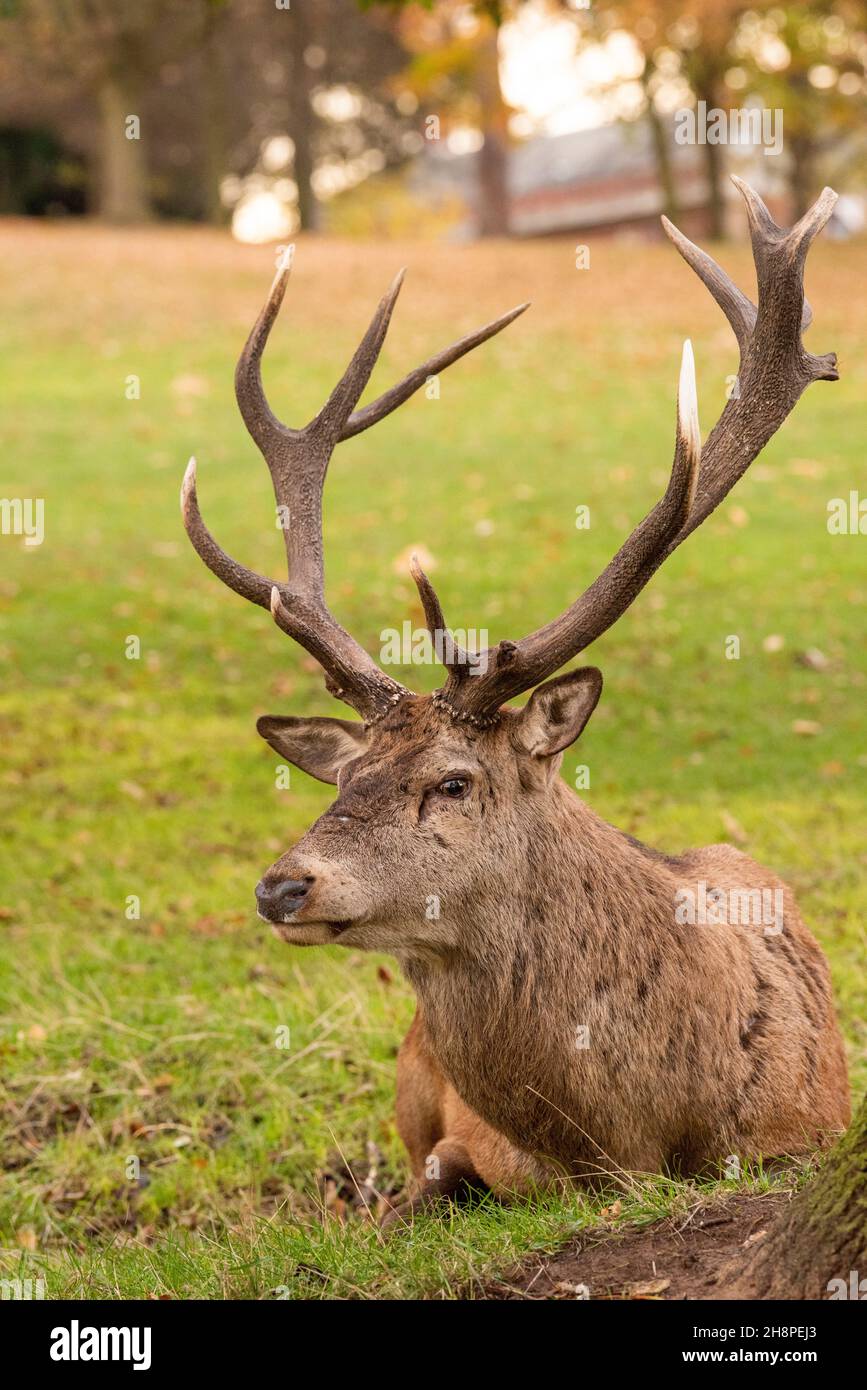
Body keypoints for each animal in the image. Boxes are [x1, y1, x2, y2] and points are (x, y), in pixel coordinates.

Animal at [182, 178, 850, 1224]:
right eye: (344, 781)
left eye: (453, 782)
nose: (283, 884)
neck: (631, 1143)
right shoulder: (462, 1139)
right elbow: (430, 1179)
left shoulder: (804, 1134)